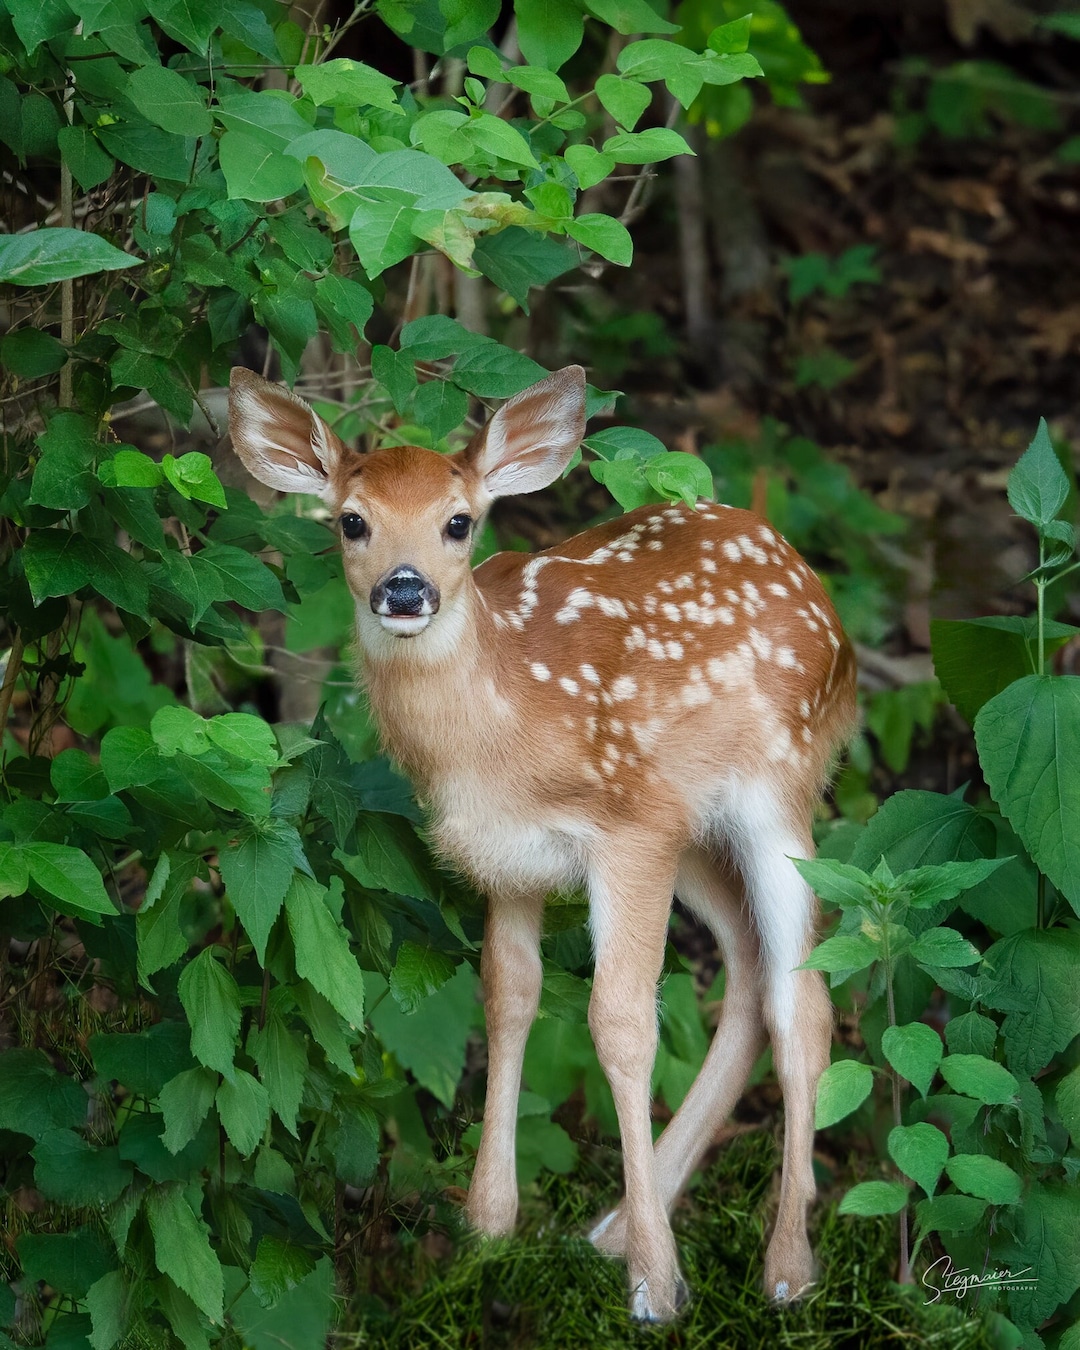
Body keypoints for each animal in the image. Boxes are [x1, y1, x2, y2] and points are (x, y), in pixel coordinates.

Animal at [228, 363, 857, 1324]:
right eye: (352, 520)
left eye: (459, 521)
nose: (404, 589)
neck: (502, 726)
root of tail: (813, 583)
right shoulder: (513, 858)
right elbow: (508, 997)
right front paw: (490, 1228)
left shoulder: (630, 828)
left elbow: (622, 1023)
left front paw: (656, 1288)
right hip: (696, 835)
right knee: (751, 972)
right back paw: (614, 1228)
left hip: (779, 790)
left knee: (803, 1001)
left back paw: (784, 1268)